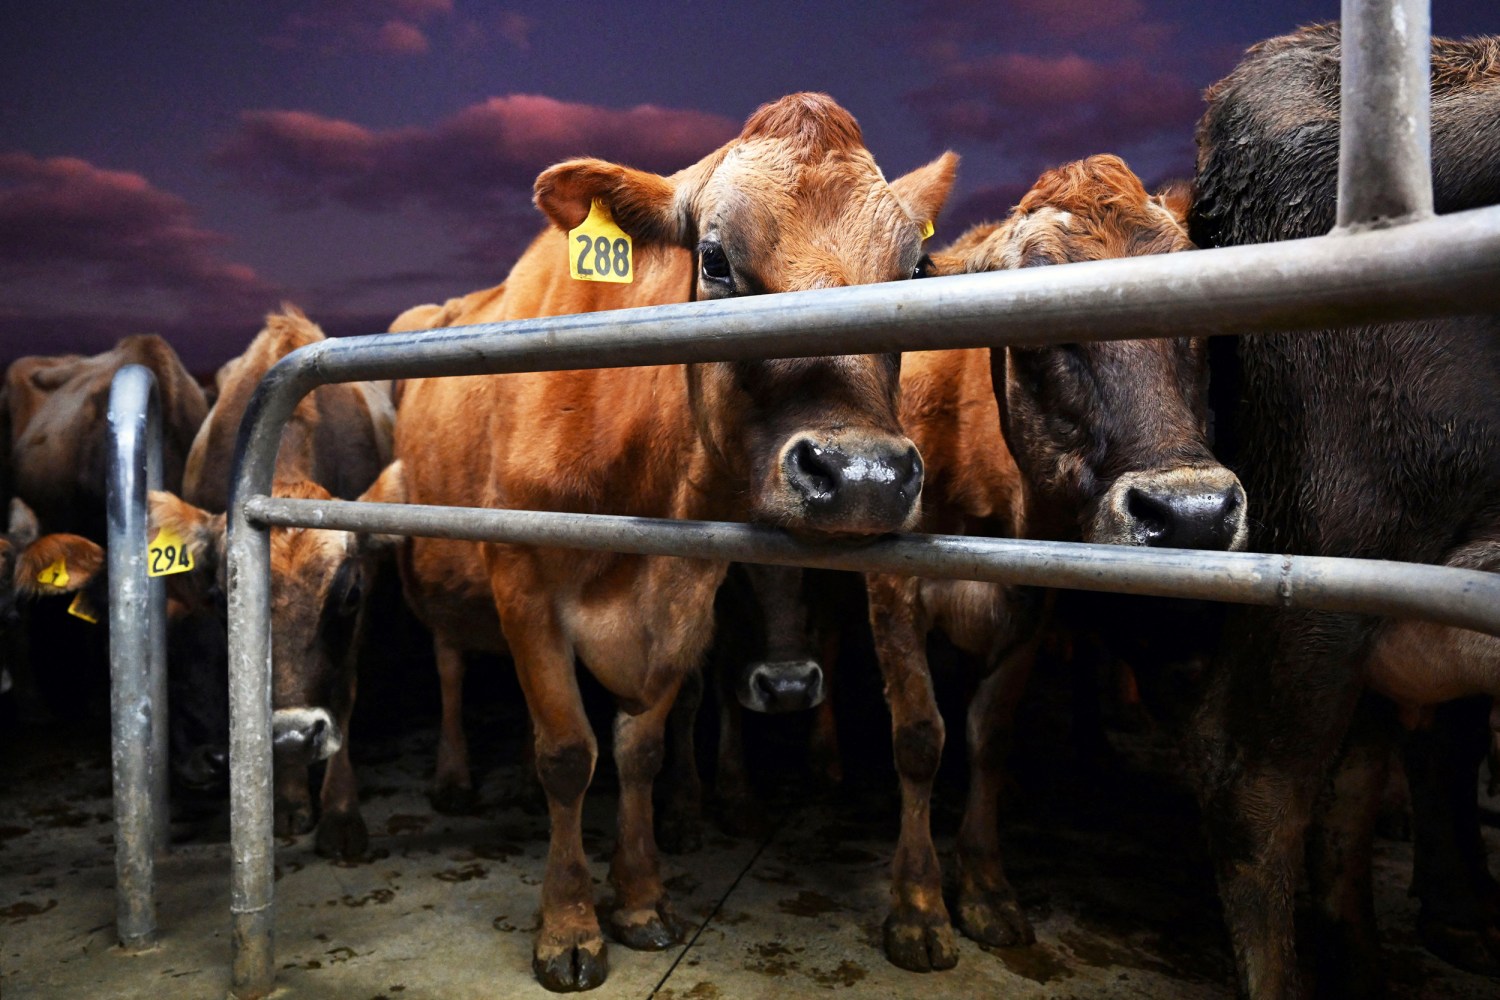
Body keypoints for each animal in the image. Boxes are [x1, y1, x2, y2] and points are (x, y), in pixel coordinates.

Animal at [147, 307, 401, 859]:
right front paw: (284, 802)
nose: (291, 737)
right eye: (223, 598)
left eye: (350, 594)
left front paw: (341, 814)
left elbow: (344, 691)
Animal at [392, 92, 956, 990]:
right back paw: (455, 776)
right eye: (716, 260)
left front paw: (640, 898)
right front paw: (570, 926)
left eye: (914, 272)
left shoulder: (686, 596)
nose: (863, 474)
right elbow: (567, 753)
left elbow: (639, 750)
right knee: (449, 662)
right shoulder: (521, 577)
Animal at [863, 154, 1246, 972]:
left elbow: (991, 733)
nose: (1194, 512)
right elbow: (919, 737)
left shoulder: (1032, 600)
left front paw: (984, 887)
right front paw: (917, 904)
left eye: (1203, 317)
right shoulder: (891, 587)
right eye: (1041, 327)